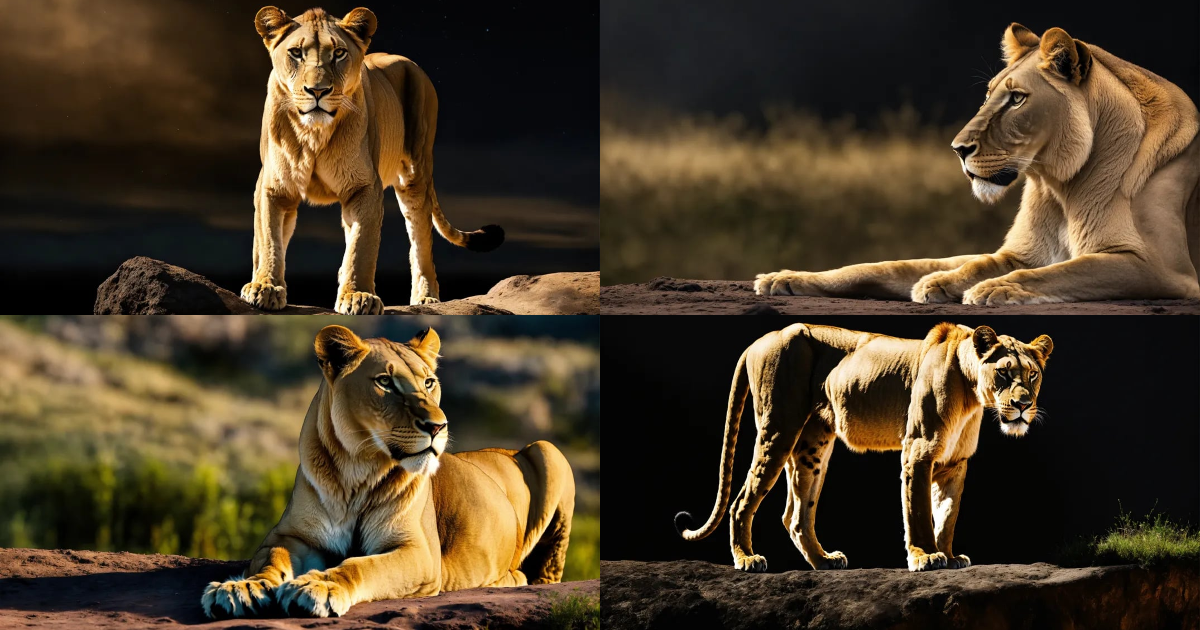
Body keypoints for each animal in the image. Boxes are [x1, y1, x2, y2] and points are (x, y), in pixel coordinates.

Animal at [201, 325, 574, 618]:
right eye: (385, 382)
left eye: (429, 382)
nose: (438, 426)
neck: (359, 469)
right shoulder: (291, 536)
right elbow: (269, 560)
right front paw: (242, 589)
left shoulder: (419, 552)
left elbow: (363, 564)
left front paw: (319, 586)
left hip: (548, 451)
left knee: (542, 576)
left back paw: (510, 579)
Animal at [241, 7, 504, 314]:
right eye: (296, 52)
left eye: (339, 53)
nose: (317, 91)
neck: (314, 133)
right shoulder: (274, 187)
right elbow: (268, 241)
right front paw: (265, 287)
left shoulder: (365, 187)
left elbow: (362, 245)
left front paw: (359, 295)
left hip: (415, 175)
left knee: (420, 241)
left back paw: (426, 297)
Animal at [675, 322, 1052, 572]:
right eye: (1004, 372)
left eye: (1032, 374)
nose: (1023, 405)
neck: (972, 395)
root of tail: (759, 340)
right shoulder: (918, 450)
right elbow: (918, 511)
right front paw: (926, 556)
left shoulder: (955, 462)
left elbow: (947, 514)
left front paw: (949, 554)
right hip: (778, 429)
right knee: (741, 502)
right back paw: (747, 559)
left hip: (813, 444)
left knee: (796, 515)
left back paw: (824, 560)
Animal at [755, 23, 1199, 305]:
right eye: (987, 95)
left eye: (1017, 98)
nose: (957, 148)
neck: (1058, 186)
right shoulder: (1021, 253)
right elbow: (890, 265)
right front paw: (786, 278)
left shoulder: (1163, 270)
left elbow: (1059, 273)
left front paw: (994, 289)